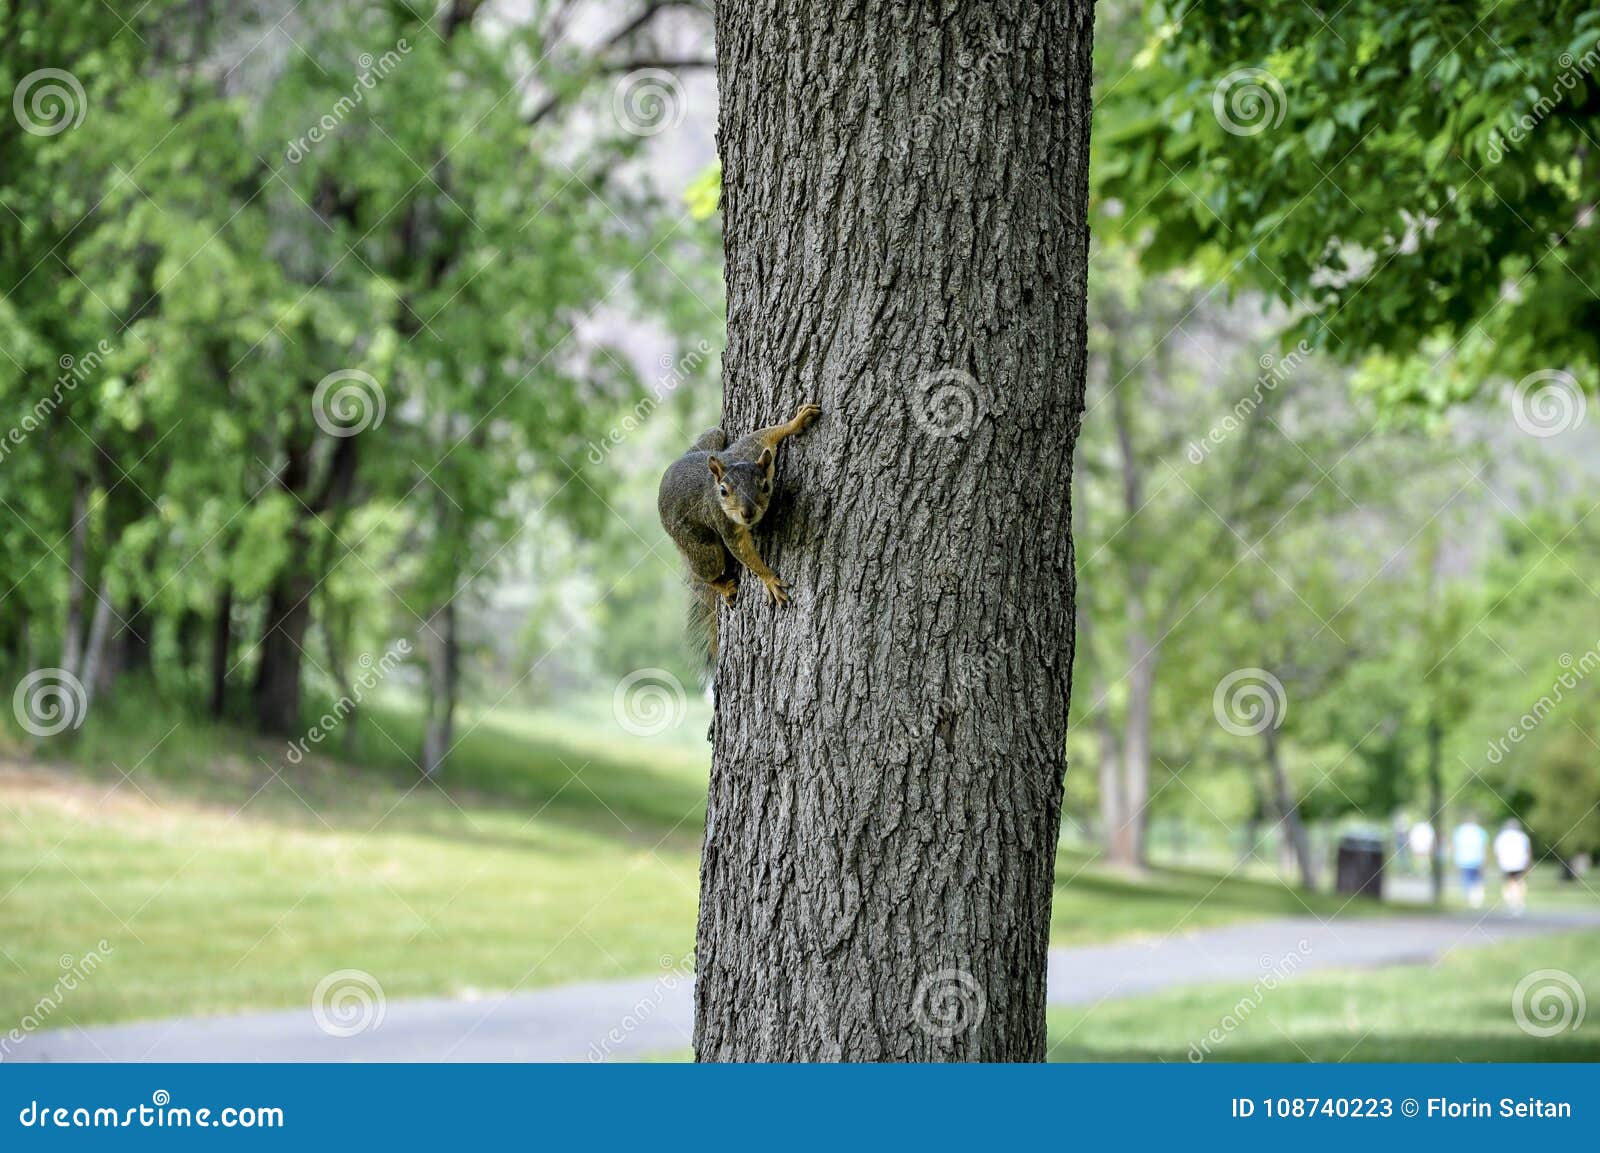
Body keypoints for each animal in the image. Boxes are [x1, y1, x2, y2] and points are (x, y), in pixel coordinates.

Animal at [657, 402, 823, 666]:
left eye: (764, 486)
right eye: (724, 492)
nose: (747, 513)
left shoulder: (749, 450)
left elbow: (766, 434)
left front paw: (797, 420)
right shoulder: (726, 524)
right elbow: (743, 553)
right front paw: (769, 580)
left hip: (712, 437)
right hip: (700, 545)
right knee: (706, 571)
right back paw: (722, 586)